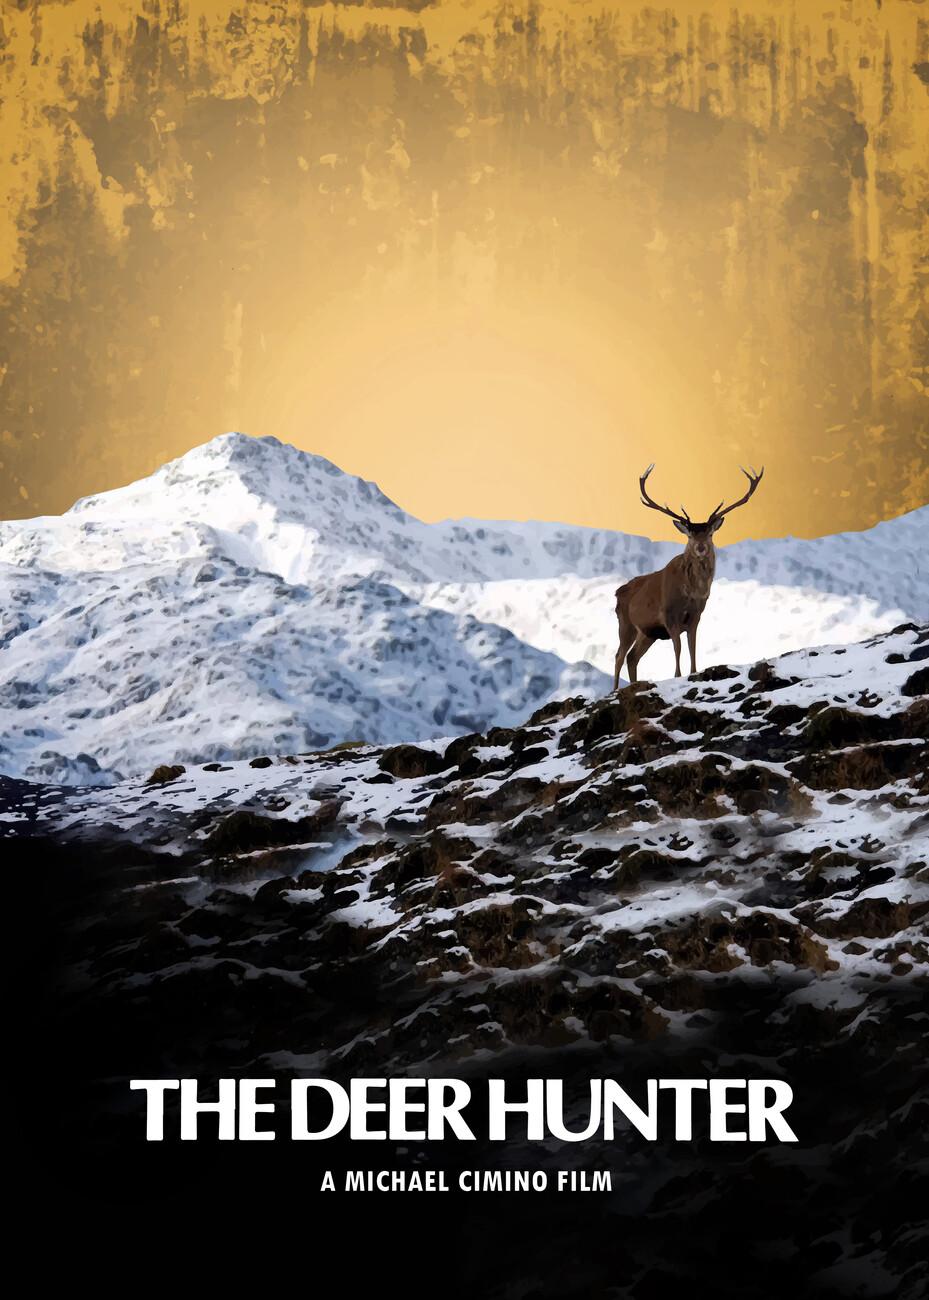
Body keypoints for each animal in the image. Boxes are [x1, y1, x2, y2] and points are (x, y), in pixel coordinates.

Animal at [612, 464, 764, 689]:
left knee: (632, 657)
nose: (700, 547)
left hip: (647, 632)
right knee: (619, 656)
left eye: (710, 533)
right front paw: (677, 675)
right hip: (626, 623)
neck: (691, 593)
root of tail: (617, 592)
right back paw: (613, 690)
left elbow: (692, 647)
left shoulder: (696, 616)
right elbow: (678, 649)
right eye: (690, 535)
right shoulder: (669, 615)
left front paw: (693, 672)